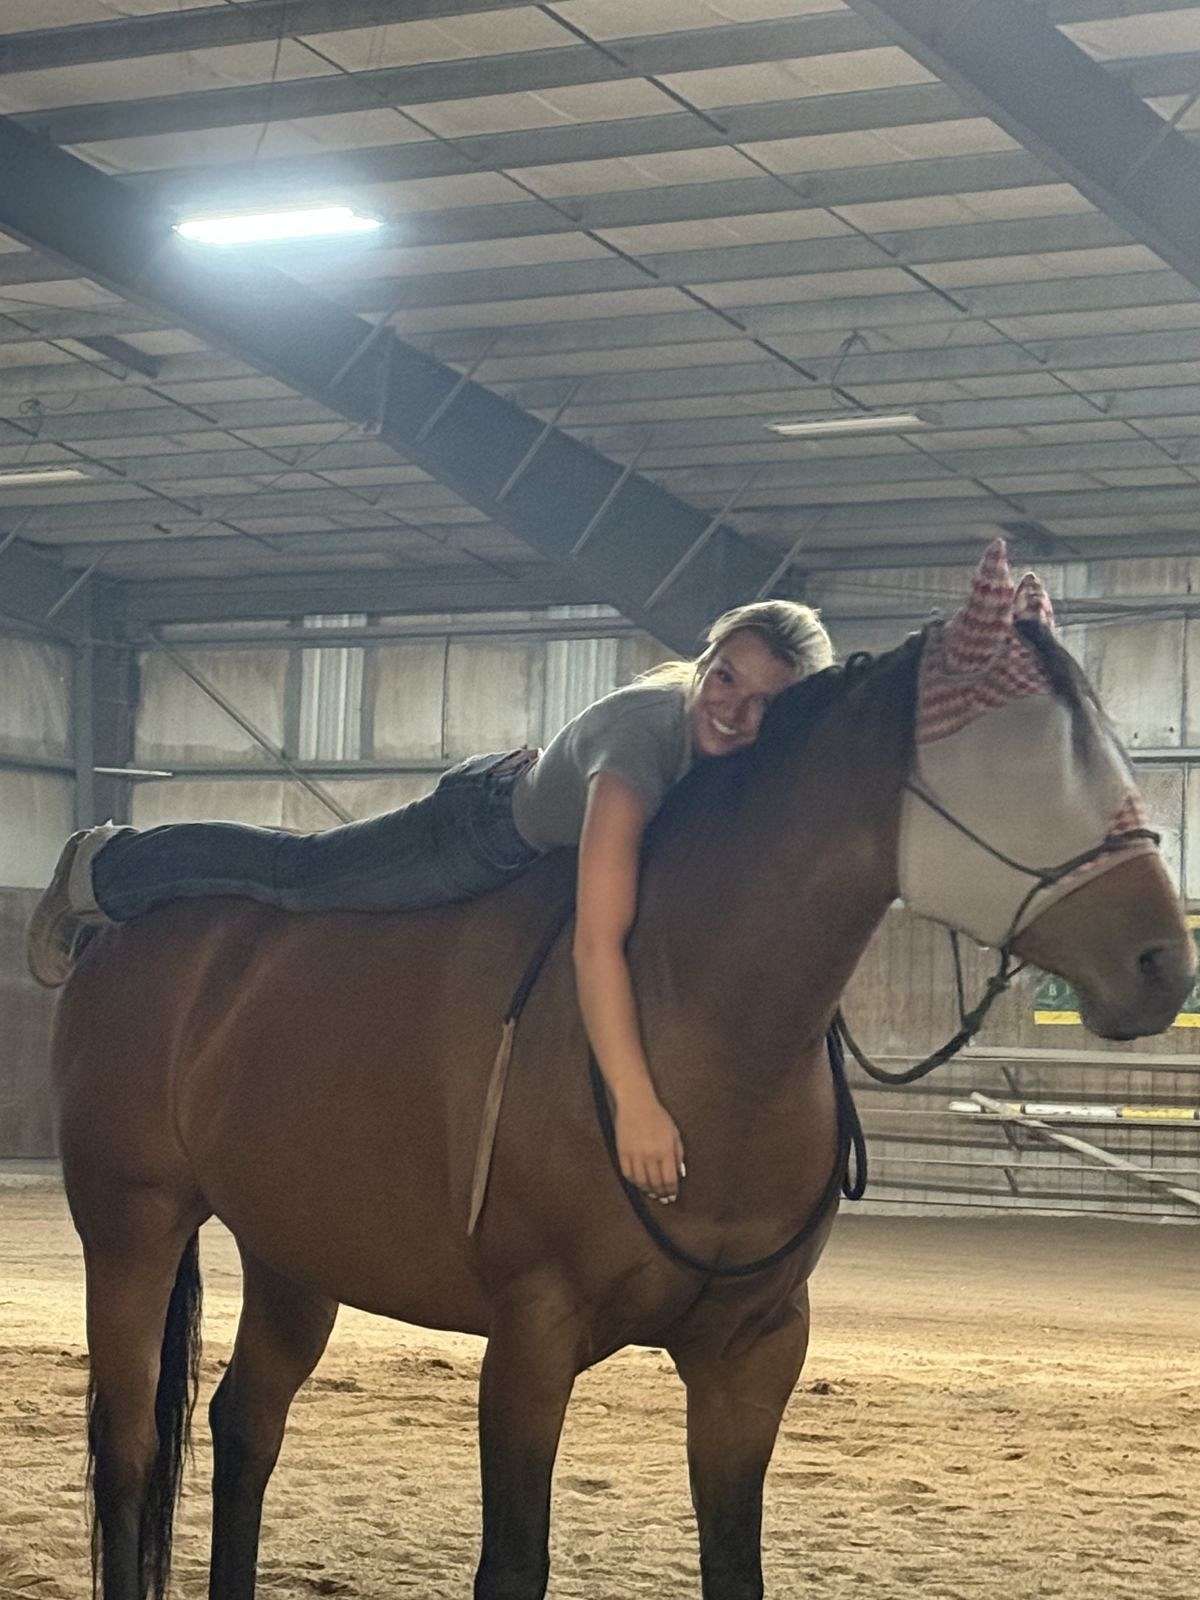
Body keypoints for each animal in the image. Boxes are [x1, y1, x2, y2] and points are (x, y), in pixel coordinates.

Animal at [41, 544, 1194, 1600]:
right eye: (1025, 762)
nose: (1163, 964)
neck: (690, 1025)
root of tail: (126, 943)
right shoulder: (531, 1341)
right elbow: (514, 1564)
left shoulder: (754, 1352)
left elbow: (734, 1564)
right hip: (133, 1225)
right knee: (132, 1454)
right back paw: (81, 870)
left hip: (294, 1252)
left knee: (246, 1425)